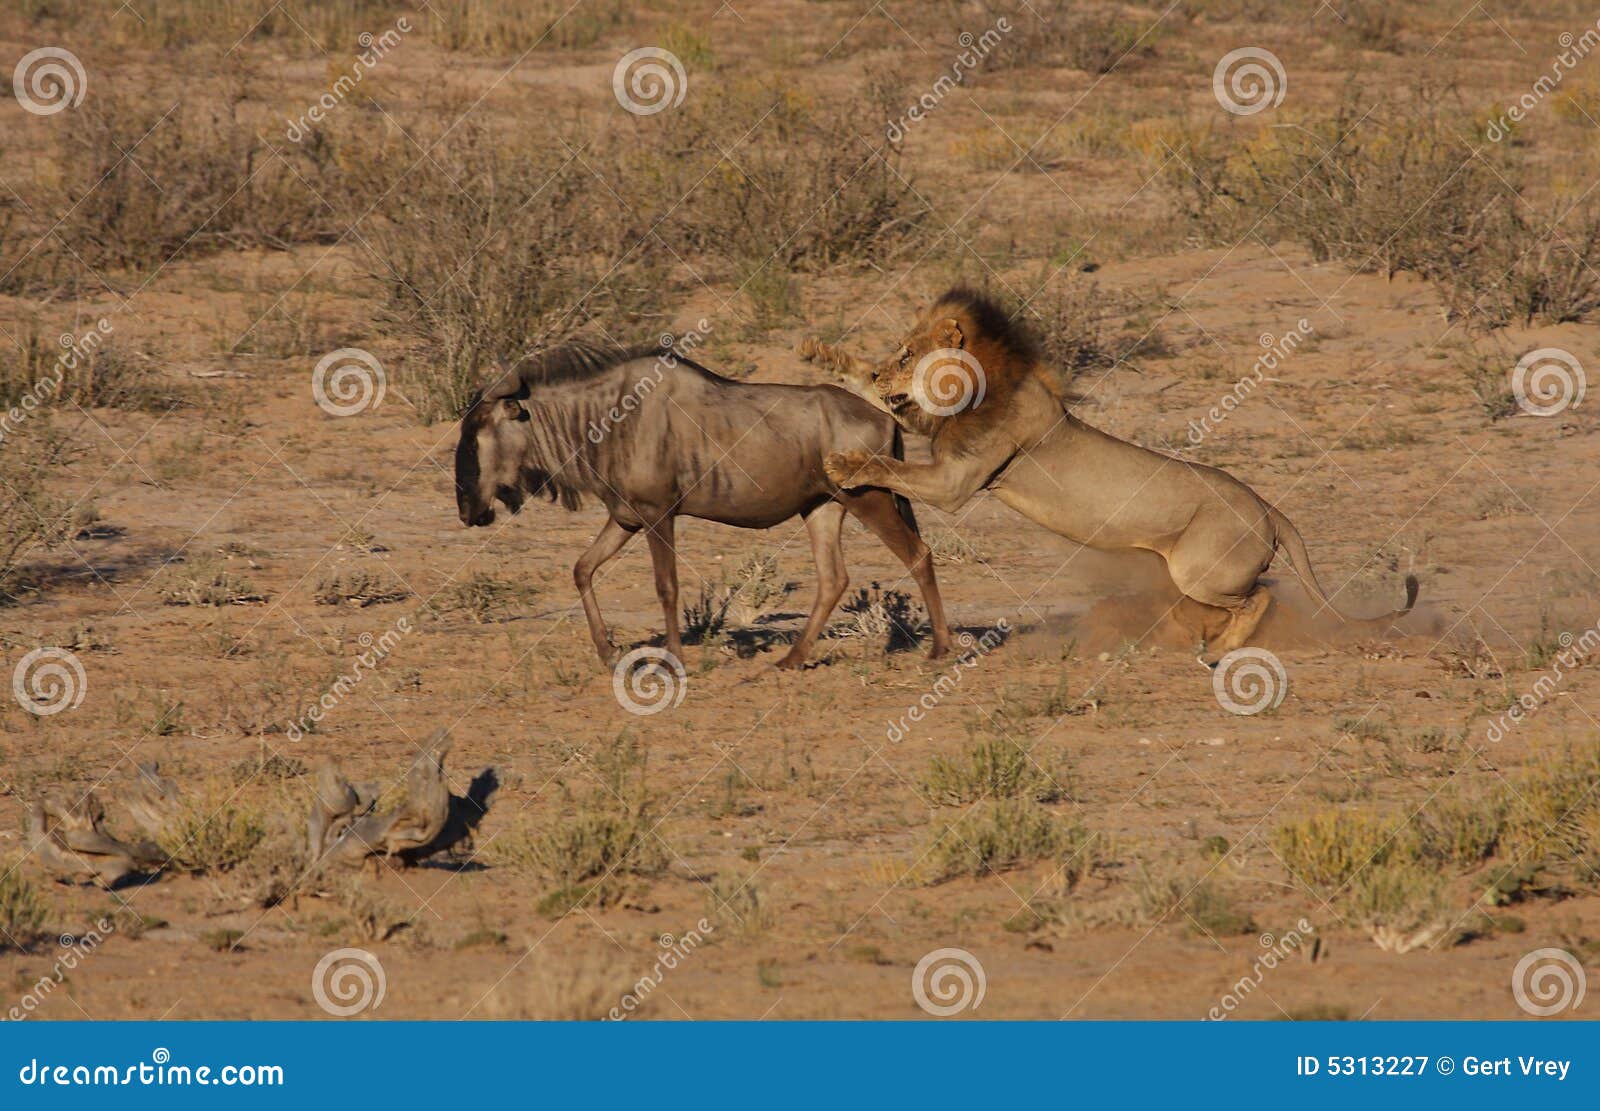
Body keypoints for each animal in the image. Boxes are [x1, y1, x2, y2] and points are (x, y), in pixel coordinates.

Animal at [806, 287, 1417, 661]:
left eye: (908, 355)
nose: (885, 370)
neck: (974, 387)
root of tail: (1267, 506)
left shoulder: (956, 480)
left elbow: (888, 462)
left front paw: (842, 461)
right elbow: (872, 401)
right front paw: (826, 355)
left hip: (1200, 570)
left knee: (1259, 599)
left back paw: (1221, 650)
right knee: (1261, 592)